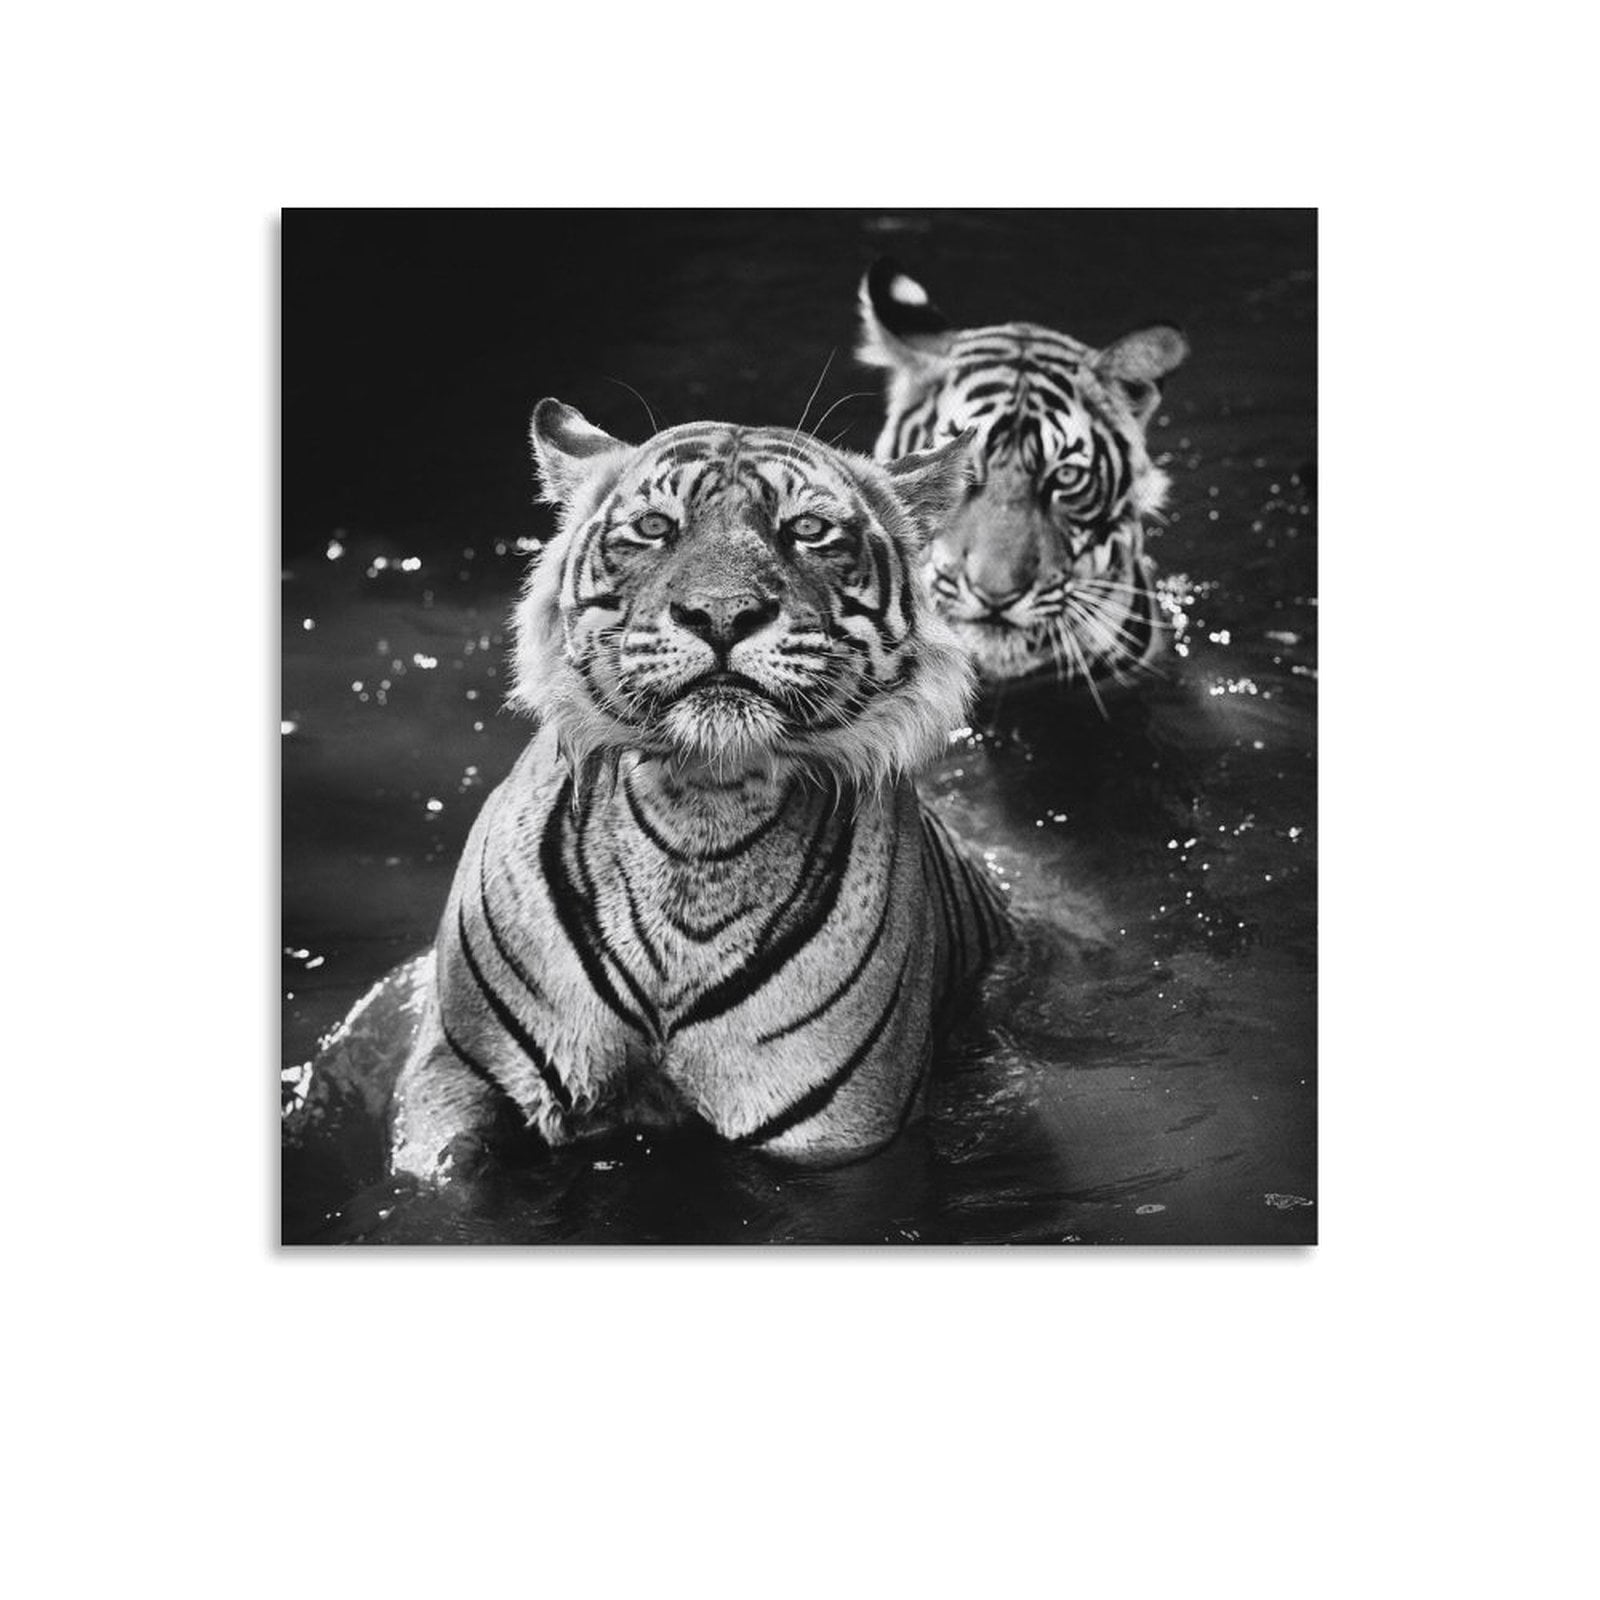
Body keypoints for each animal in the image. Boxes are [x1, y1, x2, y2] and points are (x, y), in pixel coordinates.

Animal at [385, 400, 1011, 1179]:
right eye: (657, 526)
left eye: (808, 529)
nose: (721, 614)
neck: (698, 812)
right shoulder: (456, 1075)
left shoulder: (840, 1139)